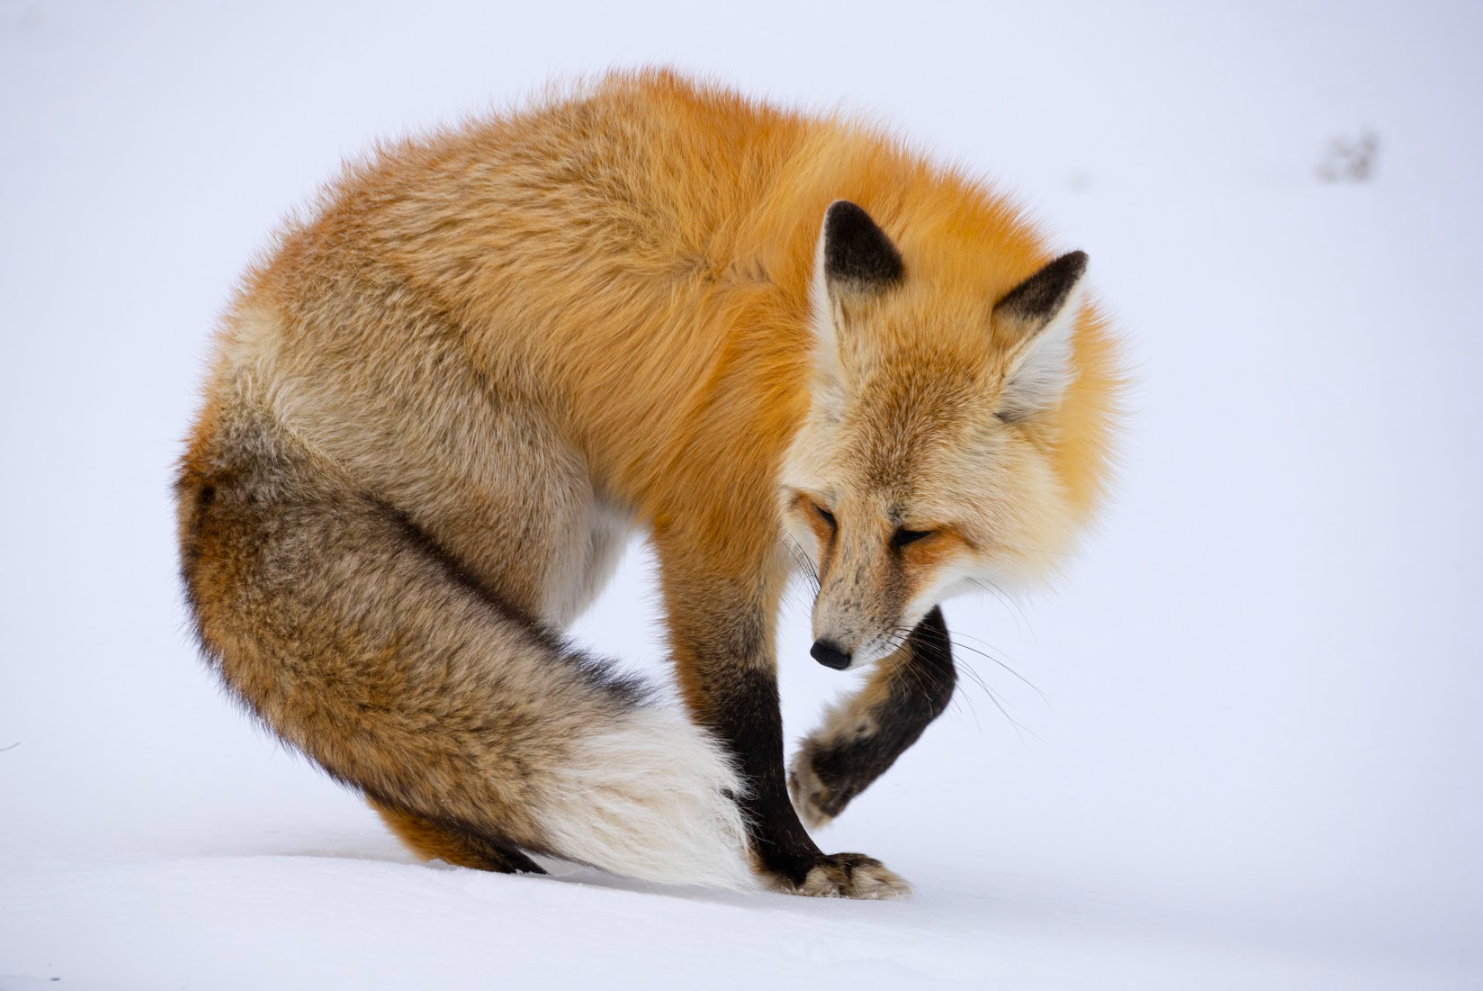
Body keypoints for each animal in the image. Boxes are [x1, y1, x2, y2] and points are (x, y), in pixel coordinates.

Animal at [175, 69, 1122, 899]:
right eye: (825, 509)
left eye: (918, 532)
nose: (826, 655)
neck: (787, 369)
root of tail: (231, 371)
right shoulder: (713, 529)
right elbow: (744, 719)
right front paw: (796, 863)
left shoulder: (830, 560)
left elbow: (933, 664)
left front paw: (836, 763)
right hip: (536, 527)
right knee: (407, 742)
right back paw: (489, 869)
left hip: (559, 552)